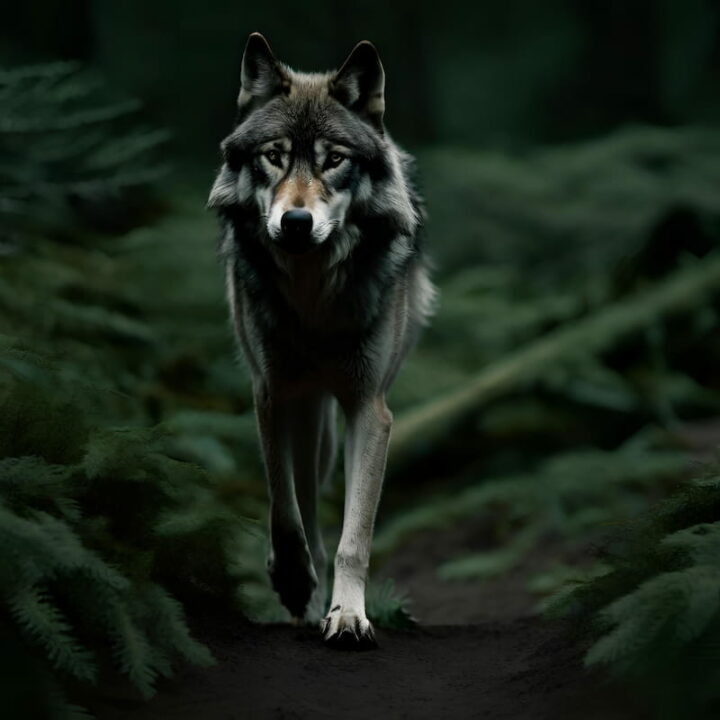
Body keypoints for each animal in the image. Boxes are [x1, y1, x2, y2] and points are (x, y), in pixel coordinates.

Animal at [208, 33, 435, 648]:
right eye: (275, 156)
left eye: (335, 159)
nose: (295, 223)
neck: (313, 299)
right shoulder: (271, 393)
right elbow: (284, 511)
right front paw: (293, 584)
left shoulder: (370, 410)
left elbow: (354, 536)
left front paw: (349, 615)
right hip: (310, 416)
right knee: (303, 501)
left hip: (331, 425)